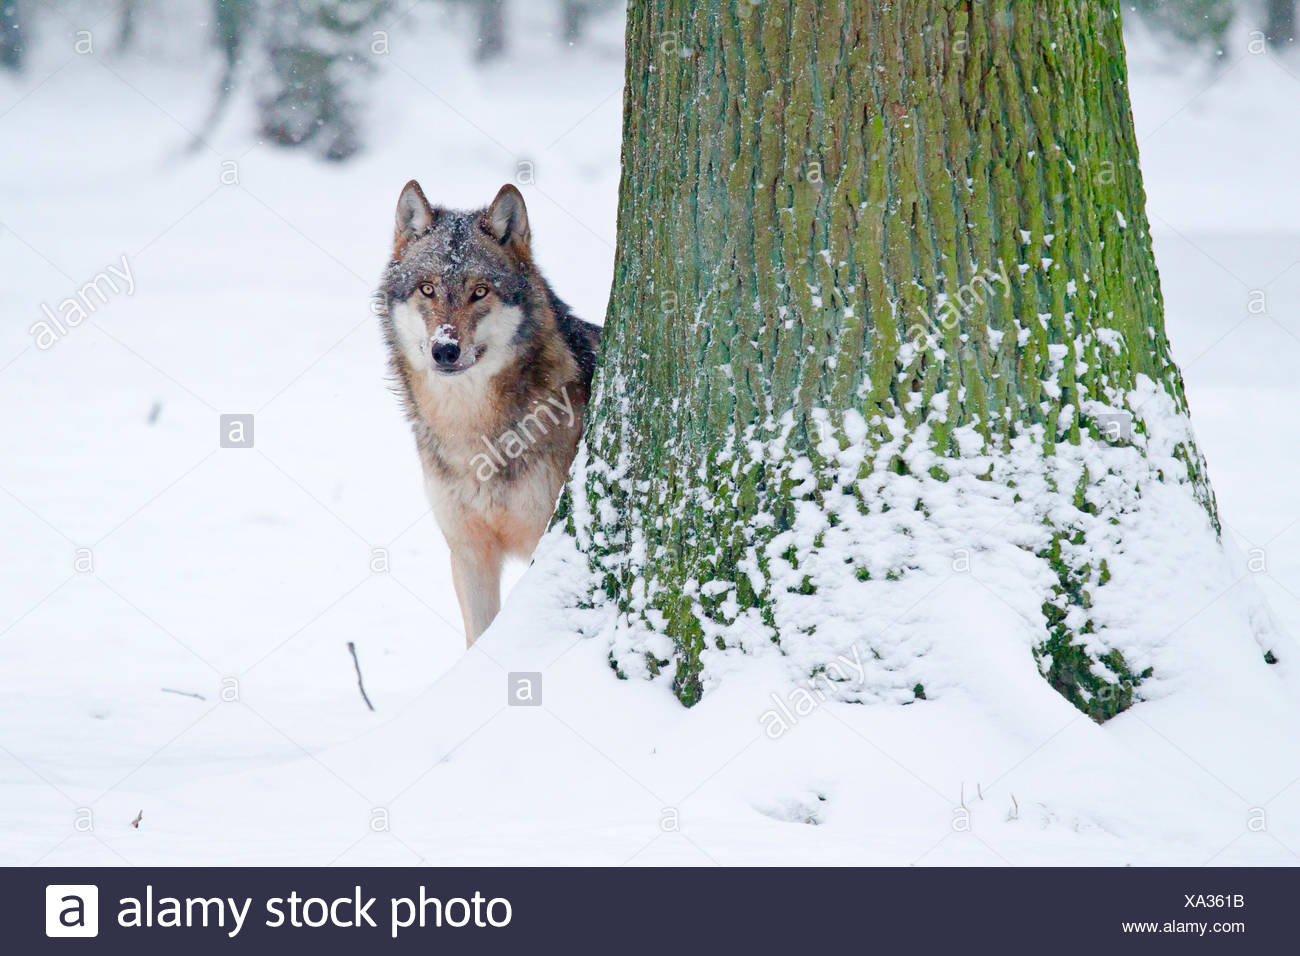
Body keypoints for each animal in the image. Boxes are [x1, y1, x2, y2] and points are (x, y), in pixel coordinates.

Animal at [377, 180, 601, 645]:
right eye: (427, 289)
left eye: (480, 291)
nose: (445, 350)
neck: (470, 432)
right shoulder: (468, 552)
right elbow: (477, 638)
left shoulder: (540, 542)